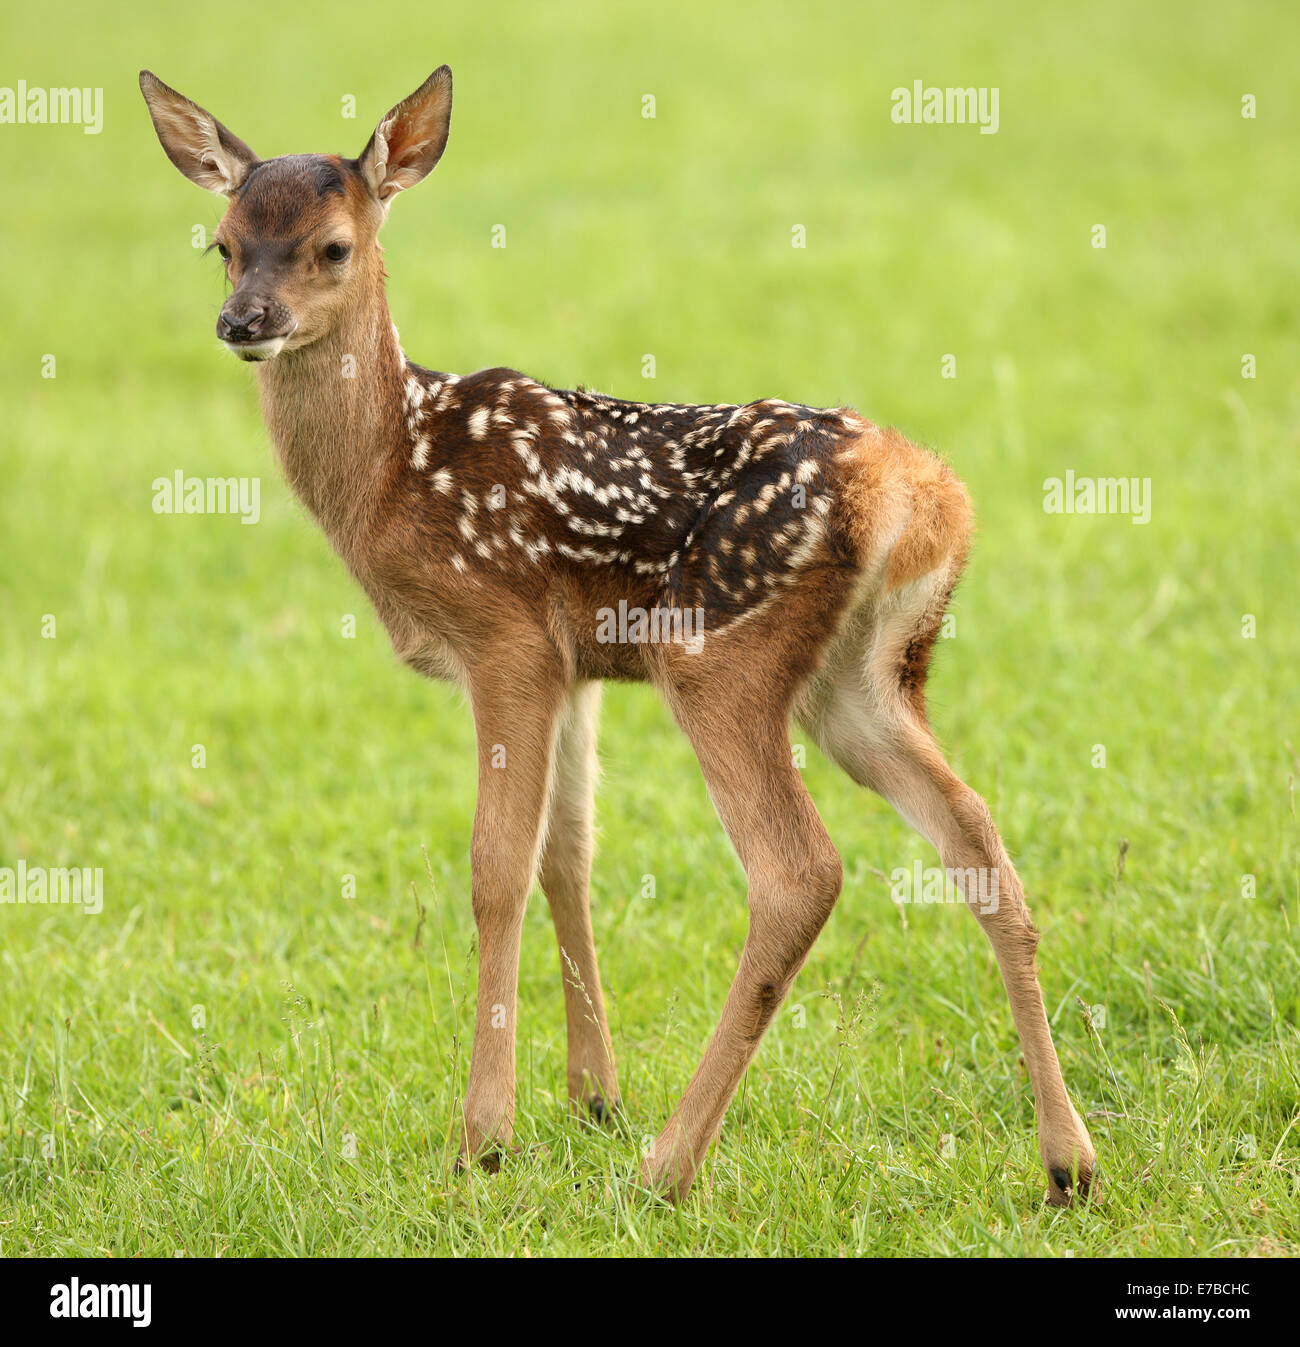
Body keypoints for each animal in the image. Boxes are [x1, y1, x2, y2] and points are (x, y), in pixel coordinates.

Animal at [140, 65, 1096, 1206]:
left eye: (331, 246)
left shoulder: (503, 634)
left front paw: (485, 1137)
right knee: (975, 833)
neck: (391, 473)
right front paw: (592, 1095)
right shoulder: (579, 664)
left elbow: (496, 868)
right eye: (223, 242)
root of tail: (922, 491)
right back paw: (1068, 1161)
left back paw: (668, 1168)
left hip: (721, 649)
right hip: (862, 679)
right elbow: (570, 855)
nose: (243, 319)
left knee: (800, 871)